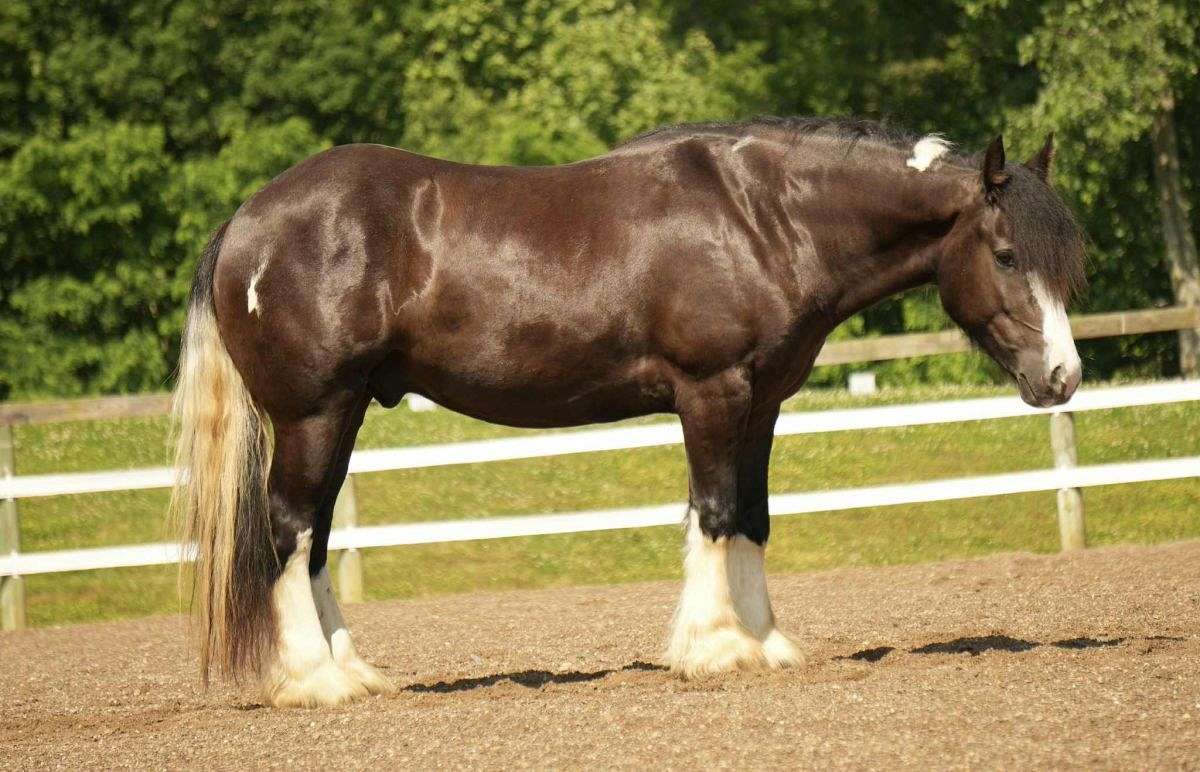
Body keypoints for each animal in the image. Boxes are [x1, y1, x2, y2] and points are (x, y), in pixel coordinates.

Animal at [171, 117, 1086, 707]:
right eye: (1008, 255)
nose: (1064, 376)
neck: (763, 217)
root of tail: (246, 220)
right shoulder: (711, 390)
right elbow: (713, 512)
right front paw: (715, 651)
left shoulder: (762, 402)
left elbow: (750, 518)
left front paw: (765, 643)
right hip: (314, 413)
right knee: (291, 528)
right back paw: (316, 683)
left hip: (345, 412)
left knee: (318, 535)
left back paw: (355, 673)